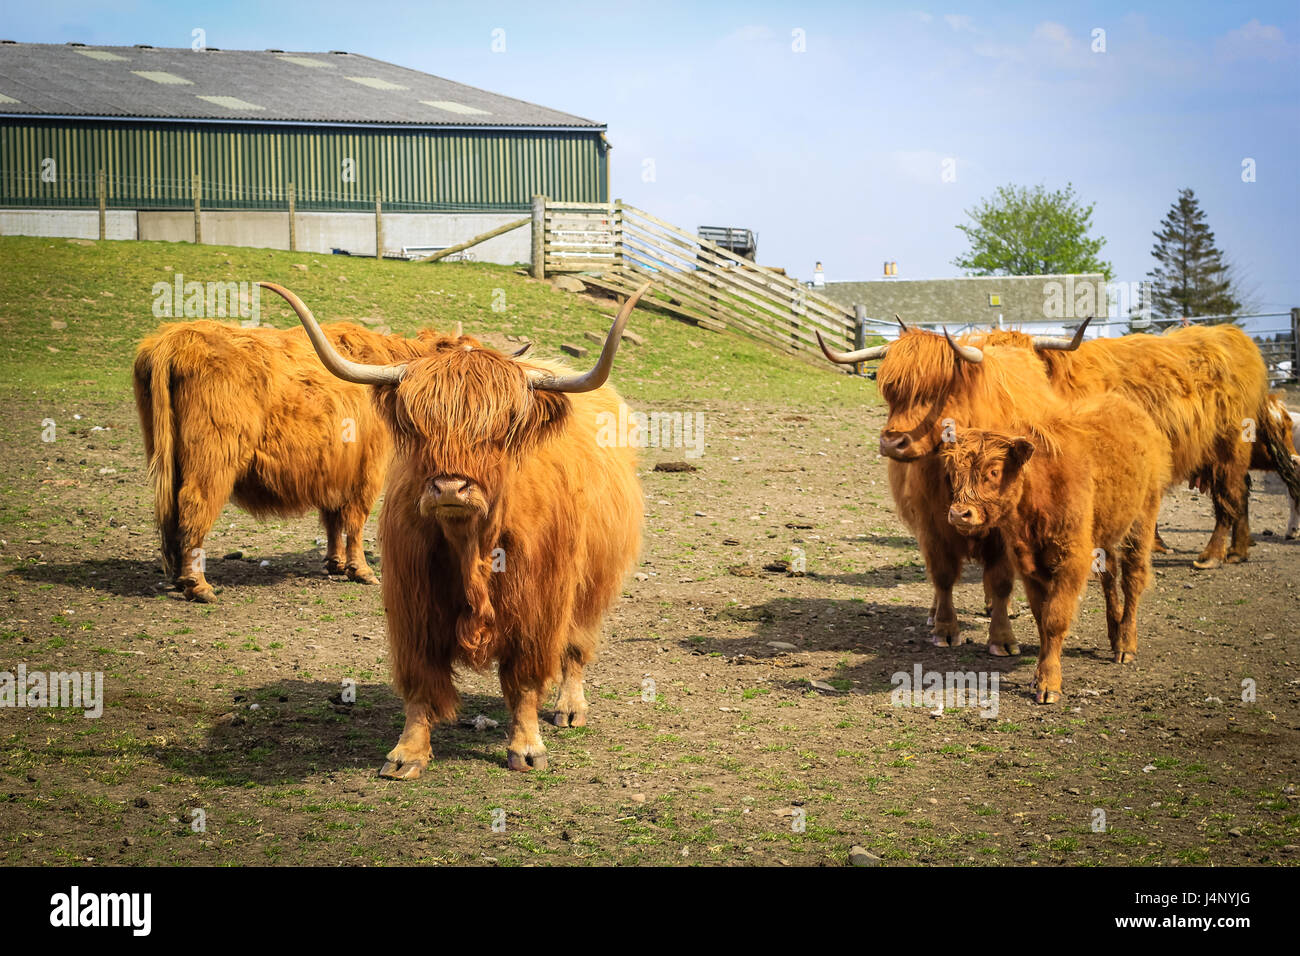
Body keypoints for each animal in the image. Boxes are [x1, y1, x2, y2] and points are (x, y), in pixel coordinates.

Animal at [133, 319, 442, 602]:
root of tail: (176, 337)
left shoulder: (335, 470)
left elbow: (332, 520)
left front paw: (336, 563)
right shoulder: (368, 470)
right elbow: (356, 522)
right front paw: (361, 571)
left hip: (169, 458)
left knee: (172, 512)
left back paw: (178, 578)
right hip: (211, 462)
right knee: (193, 507)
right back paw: (198, 586)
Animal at [258, 281, 647, 777]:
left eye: (502, 426)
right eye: (418, 422)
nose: (450, 486)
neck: (471, 544)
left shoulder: (539, 603)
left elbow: (525, 678)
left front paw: (527, 748)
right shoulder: (412, 604)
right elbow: (421, 680)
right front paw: (407, 754)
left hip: (592, 584)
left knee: (575, 648)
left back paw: (570, 708)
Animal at [941, 393, 1170, 703]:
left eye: (994, 471)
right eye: (955, 472)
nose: (959, 514)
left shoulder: (1071, 560)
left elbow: (1055, 619)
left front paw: (1048, 682)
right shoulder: (1029, 565)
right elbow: (1042, 618)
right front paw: (1041, 674)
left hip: (1142, 519)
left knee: (1133, 578)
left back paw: (1125, 643)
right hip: (1105, 531)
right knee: (1109, 576)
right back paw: (1114, 633)